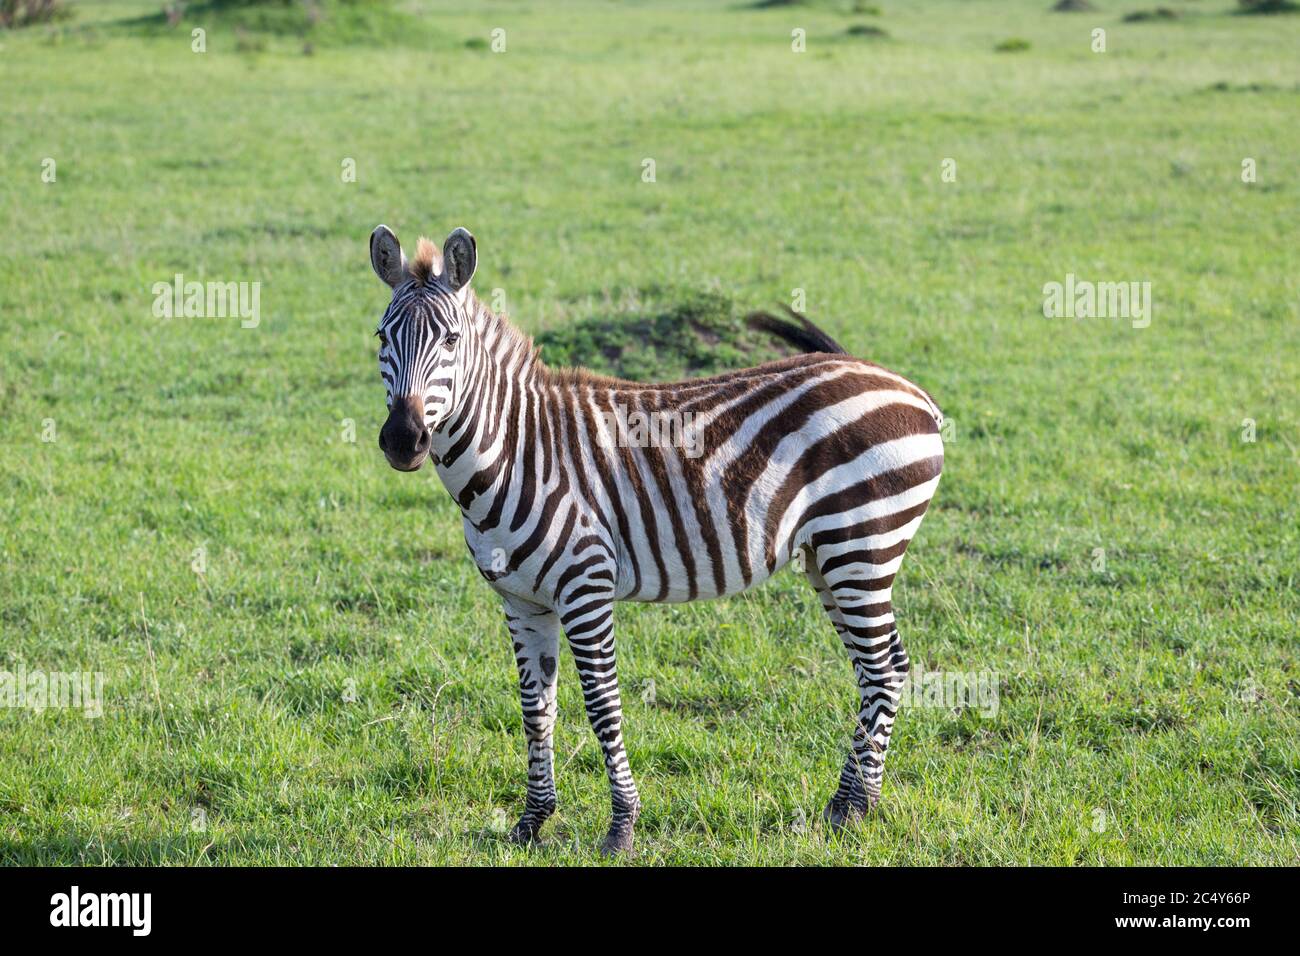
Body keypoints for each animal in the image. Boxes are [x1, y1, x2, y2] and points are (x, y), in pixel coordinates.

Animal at [368, 225, 945, 854]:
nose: (403, 440)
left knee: (883, 667)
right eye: (381, 336)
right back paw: (854, 802)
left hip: (860, 547)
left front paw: (621, 826)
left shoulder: (585, 588)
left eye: (450, 340)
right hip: (829, 557)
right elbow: (535, 709)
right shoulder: (521, 600)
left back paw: (852, 806)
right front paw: (531, 821)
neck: (517, 451)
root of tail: (900, 384)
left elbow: (602, 706)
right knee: (880, 665)